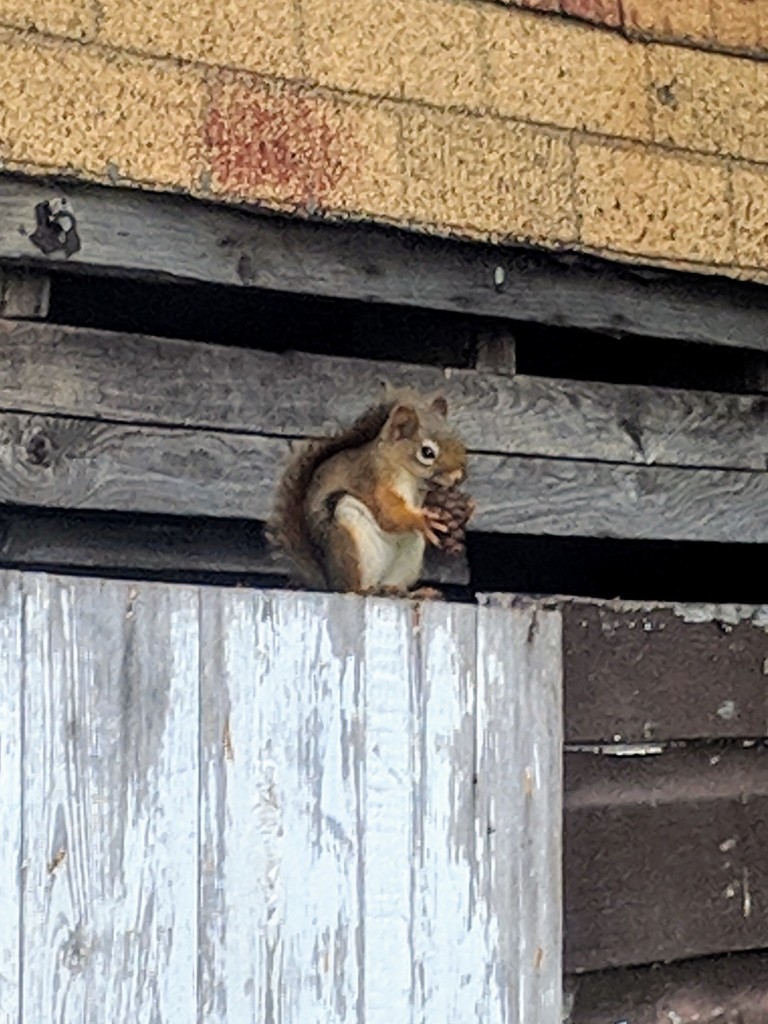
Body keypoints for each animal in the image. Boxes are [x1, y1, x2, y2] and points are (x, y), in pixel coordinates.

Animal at [267, 388, 470, 597]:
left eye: (459, 442)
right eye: (427, 452)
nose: (458, 477)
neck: (413, 479)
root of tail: (329, 582)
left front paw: (463, 508)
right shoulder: (374, 481)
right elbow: (389, 514)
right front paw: (424, 519)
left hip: (410, 555)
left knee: (392, 585)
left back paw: (409, 592)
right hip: (350, 542)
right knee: (353, 588)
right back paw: (367, 590)